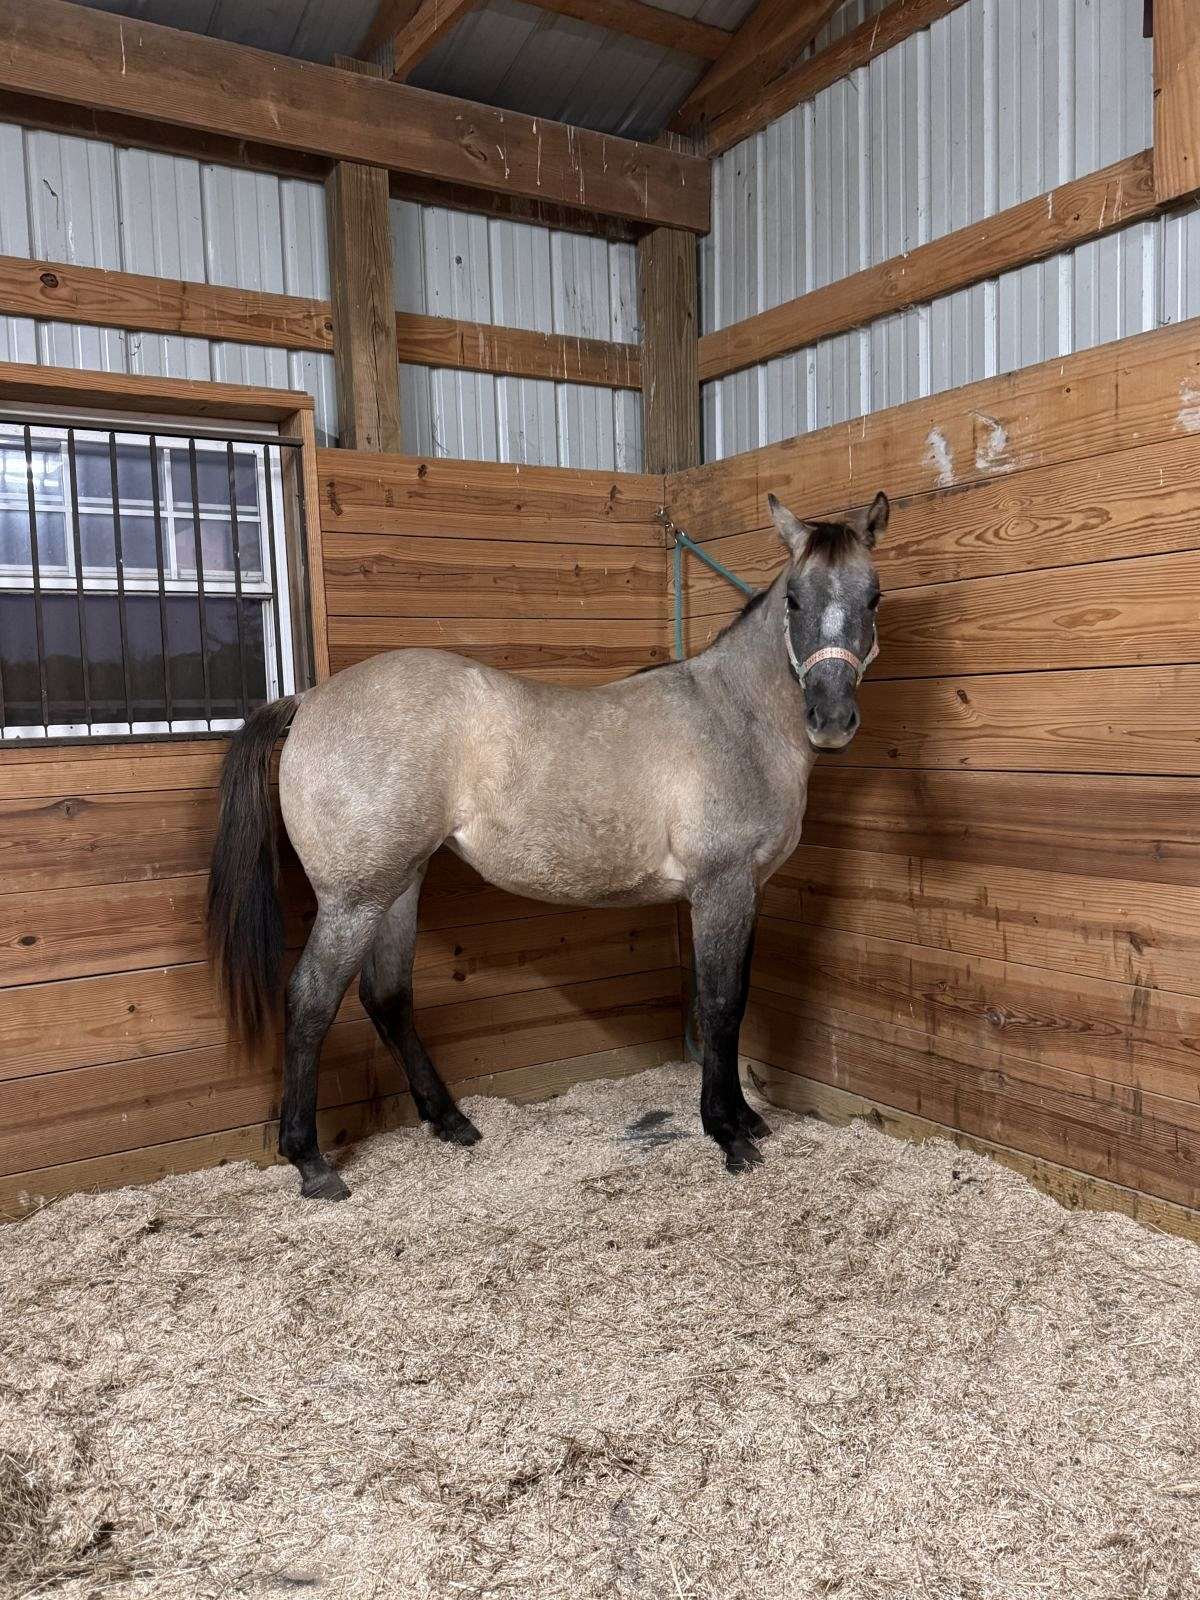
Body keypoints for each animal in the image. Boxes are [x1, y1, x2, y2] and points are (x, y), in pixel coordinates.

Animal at [207, 490, 888, 1199]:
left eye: (872, 597)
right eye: (795, 601)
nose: (831, 719)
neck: (735, 717)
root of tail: (309, 699)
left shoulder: (745, 890)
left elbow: (736, 998)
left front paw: (748, 1120)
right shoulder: (720, 888)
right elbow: (722, 1004)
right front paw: (728, 1134)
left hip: (399, 885)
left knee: (387, 998)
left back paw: (451, 1122)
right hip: (354, 899)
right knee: (311, 1000)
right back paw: (312, 1162)